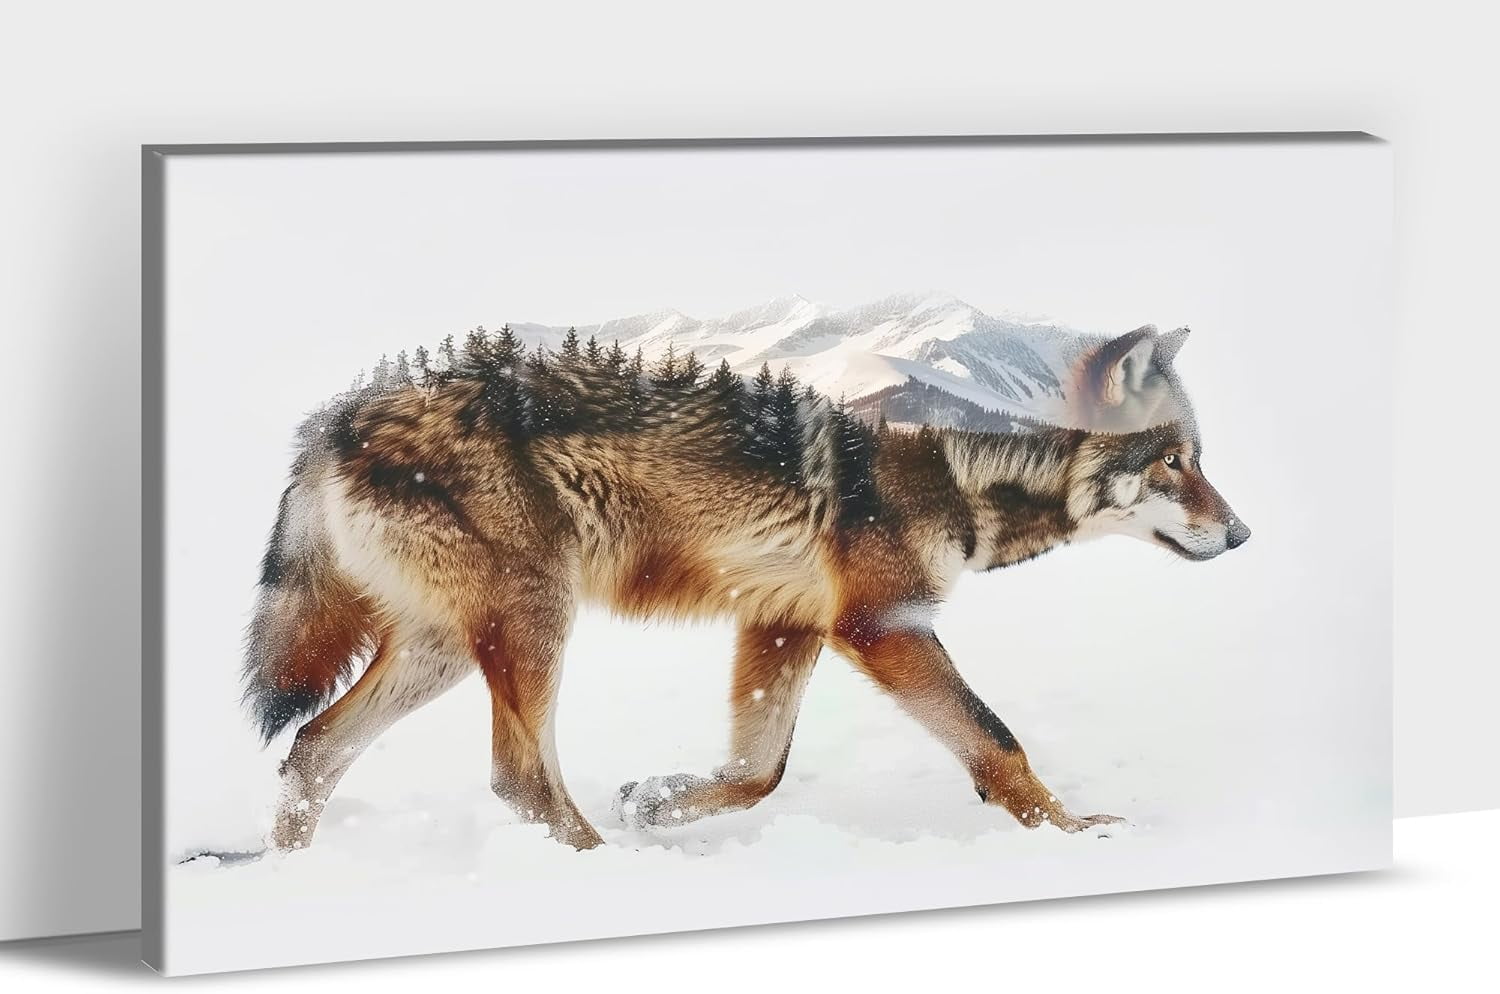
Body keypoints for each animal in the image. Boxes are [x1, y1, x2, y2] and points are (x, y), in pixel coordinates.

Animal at [243, 324, 1248, 851]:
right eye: (1174, 463)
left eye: (1199, 458)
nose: (1242, 534)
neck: (955, 470)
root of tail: (331, 424)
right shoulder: (883, 626)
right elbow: (997, 742)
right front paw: (1080, 837)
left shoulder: (784, 624)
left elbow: (758, 773)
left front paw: (656, 800)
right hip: (532, 625)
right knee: (519, 778)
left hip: (449, 649)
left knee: (312, 749)